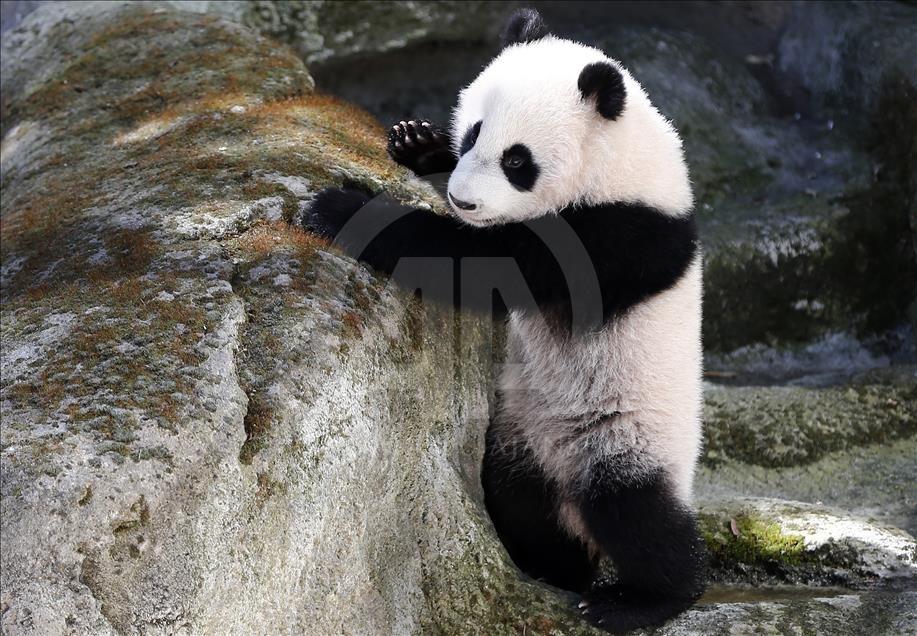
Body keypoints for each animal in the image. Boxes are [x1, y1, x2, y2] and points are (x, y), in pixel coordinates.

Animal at [307, 8, 707, 634]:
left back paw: (643, 598)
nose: (463, 201)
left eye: (518, 161)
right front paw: (419, 143)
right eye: (473, 133)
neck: (617, 162)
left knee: (635, 512)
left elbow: (478, 263)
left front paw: (342, 210)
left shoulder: (611, 235)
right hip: (522, 436)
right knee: (520, 501)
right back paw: (551, 566)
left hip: (624, 432)